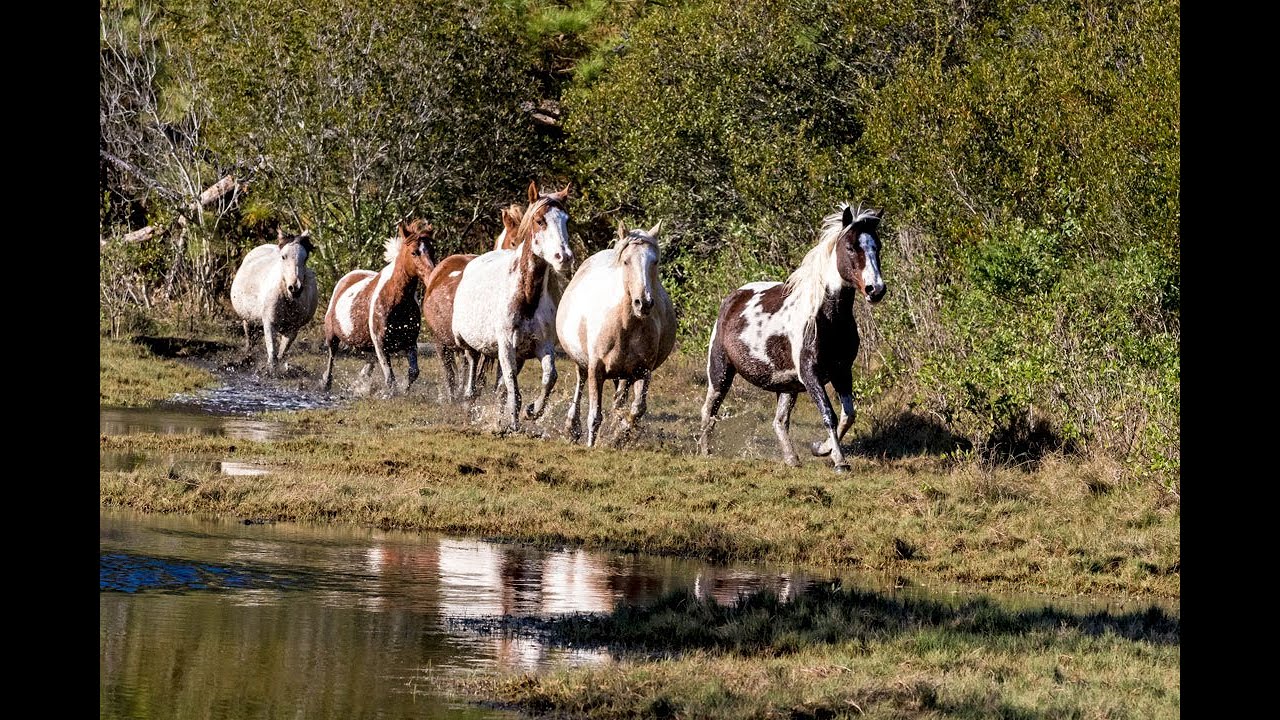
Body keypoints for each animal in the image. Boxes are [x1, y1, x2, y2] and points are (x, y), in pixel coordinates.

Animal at [229, 228, 319, 374]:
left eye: (305, 258)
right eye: (283, 256)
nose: (295, 288)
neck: (288, 299)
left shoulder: (293, 329)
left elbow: (281, 352)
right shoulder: (269, 323)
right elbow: (272, 351)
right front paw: (270, 371)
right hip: (248, 319)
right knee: (250, 339)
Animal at [319, 219, 436, 395]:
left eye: (432, 250)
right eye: (414, 252)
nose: (432, 276)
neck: (397, 301)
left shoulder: (410, 342)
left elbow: (413, 372)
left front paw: (405, 392)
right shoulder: (381, 344)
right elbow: (390, 379)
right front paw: (391, 395)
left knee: (367, 366)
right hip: (332, 335)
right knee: (331, 357)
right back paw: (326, 384)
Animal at [451, 181, 574, 430]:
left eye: (566, 220)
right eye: (540, 220)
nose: (564, 257)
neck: (526, 299)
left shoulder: (542, 346)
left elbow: (549, 378)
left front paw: (531, 411)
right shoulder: (506, 347)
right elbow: (512, 388)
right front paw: (515, 424)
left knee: (498, 388)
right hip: (471, 346)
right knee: (472, 378)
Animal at [556, 220, 675, 446]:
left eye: (654, 261)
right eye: (626, 262)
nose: (643, 303)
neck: (625, 326)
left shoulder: (642, 371)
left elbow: (637, 409)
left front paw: (621, 434)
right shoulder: (596, 369)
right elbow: (594, 416)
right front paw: (591, 444)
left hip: (624, 375)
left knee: (621, 398)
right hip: (582, 363)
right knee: (580, 384)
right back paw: (571, 428)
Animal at [697, 205, 886, 472]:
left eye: (877, 246)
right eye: (850, 247)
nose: (875, 289)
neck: (826, 319)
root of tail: (734, 297)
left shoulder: (842, 371)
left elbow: (848, 415)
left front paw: (821, 449)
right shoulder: (810, 373)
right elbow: (829, 414)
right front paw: (839, 461)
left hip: (787, 386)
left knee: (779, 421)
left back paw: (792, 459)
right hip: (720, 372)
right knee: (709, 410)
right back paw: (705, 451)